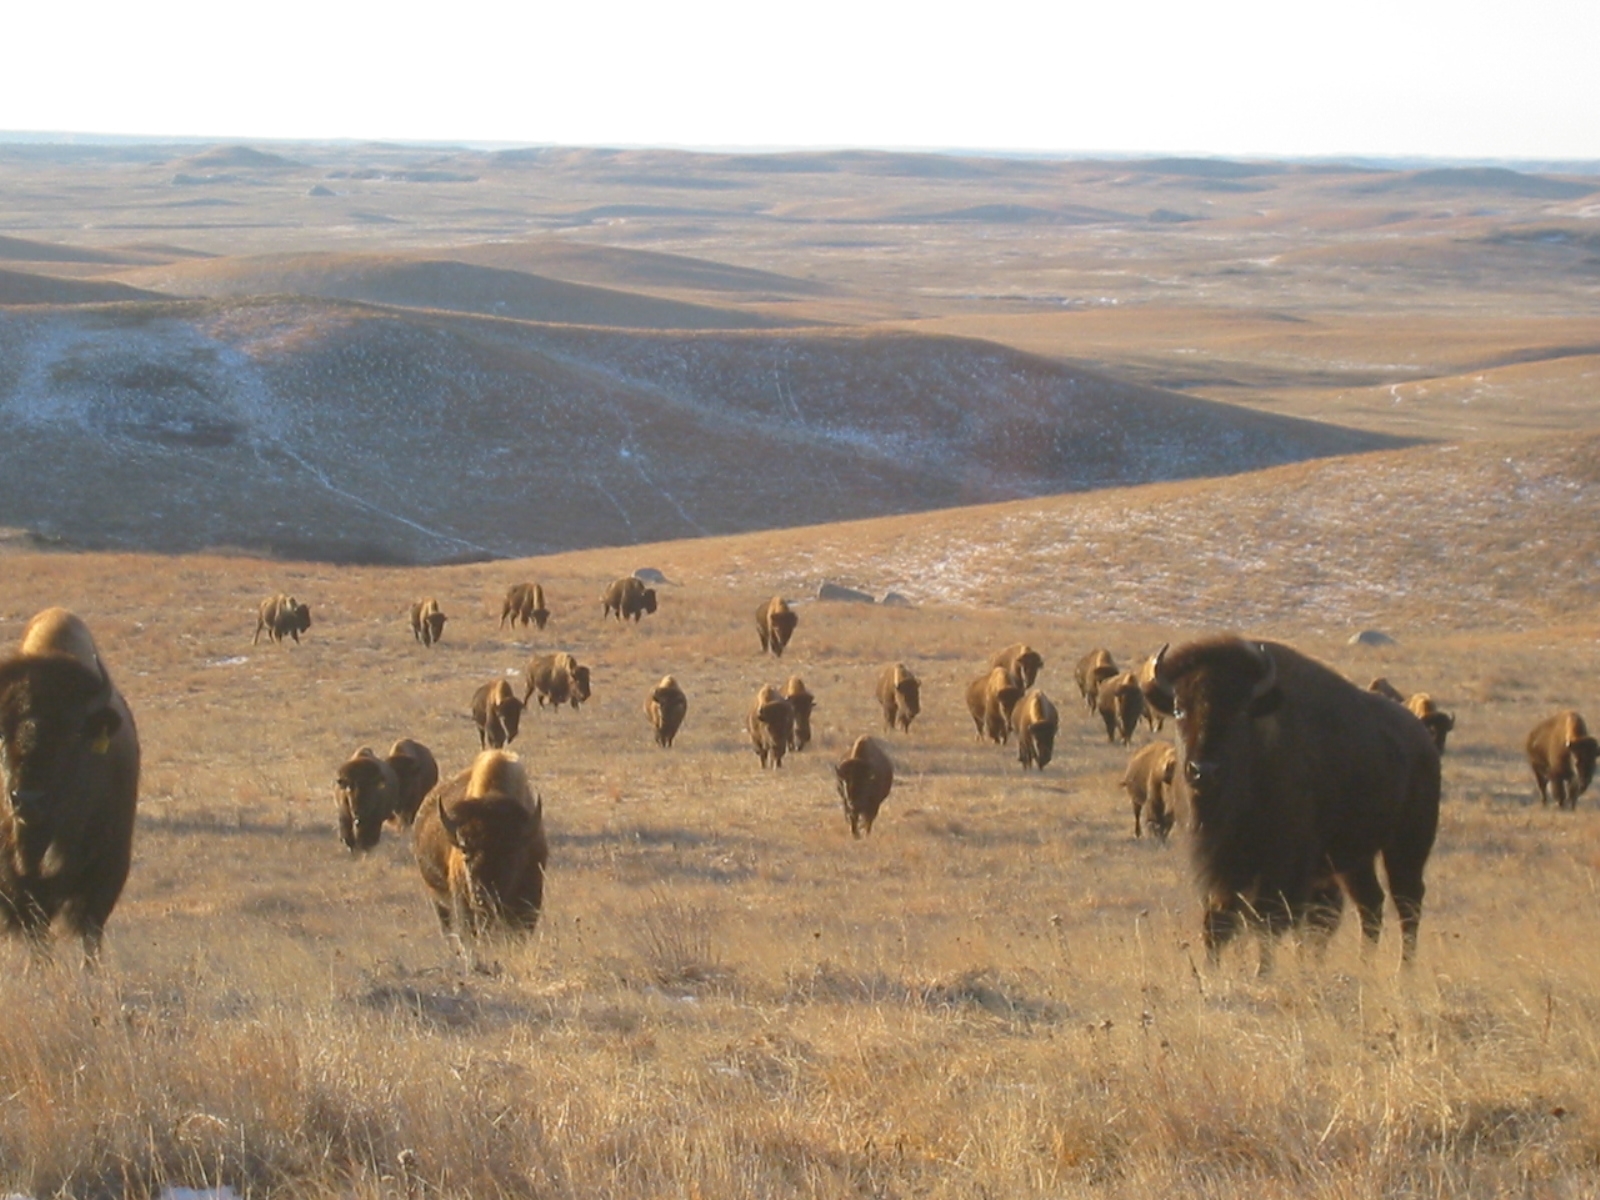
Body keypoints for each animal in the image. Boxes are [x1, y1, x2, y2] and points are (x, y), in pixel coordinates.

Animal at [1143, 636, 1440, 966]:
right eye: (1179, 709)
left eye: (1241, 710)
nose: (1203, 770)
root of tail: (1422, 740)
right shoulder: (1222, 865)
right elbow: (1218, 925)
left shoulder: (1284, 866)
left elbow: (1269, 924)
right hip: (1354, 860)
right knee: (1371, 904)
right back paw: (1365, 967)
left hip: (1406, 846)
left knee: (1407, 903)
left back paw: (1405, 971)